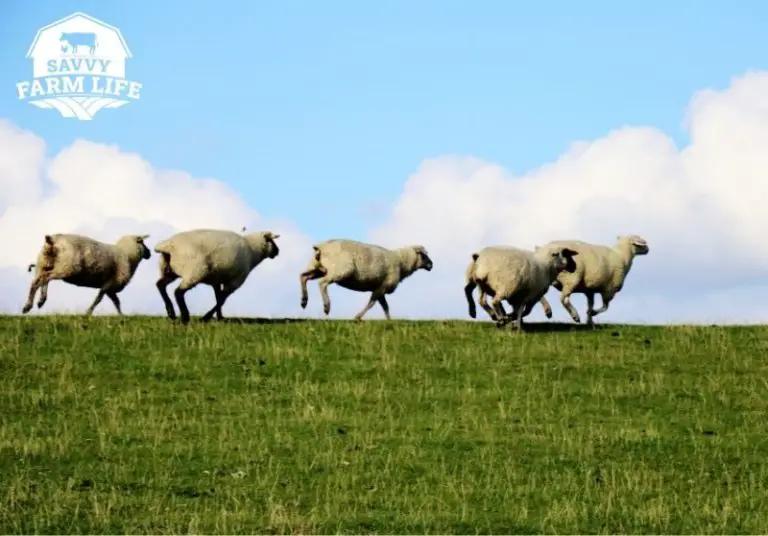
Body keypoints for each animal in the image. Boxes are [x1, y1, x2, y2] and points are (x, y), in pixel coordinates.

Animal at [22, 233, 151, 315]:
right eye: (142, 242)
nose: (149, 253)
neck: (127, 255)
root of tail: (53, 240)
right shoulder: (111, 284)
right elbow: (99, 299)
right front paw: (88, 313)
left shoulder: (110, 287)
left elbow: (116, 302)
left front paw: (121, 315)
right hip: (66, 267)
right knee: (44, 278)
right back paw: (31, 305)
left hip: (44, 264)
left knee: (40, 280)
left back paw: (36, 302)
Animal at [299, 239, 433, 320]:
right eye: (424, 255)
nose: (431, 265)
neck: (401, 262)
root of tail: (321, 247)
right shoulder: (381, 288)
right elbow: (372, 304)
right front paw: (358, 317)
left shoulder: (380, 288)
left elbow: (385, 307)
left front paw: (389, 320)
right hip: (341, 270)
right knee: (322, 283)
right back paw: (326, 306)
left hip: (318, 268)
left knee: (303, 277)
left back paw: (304, 301)